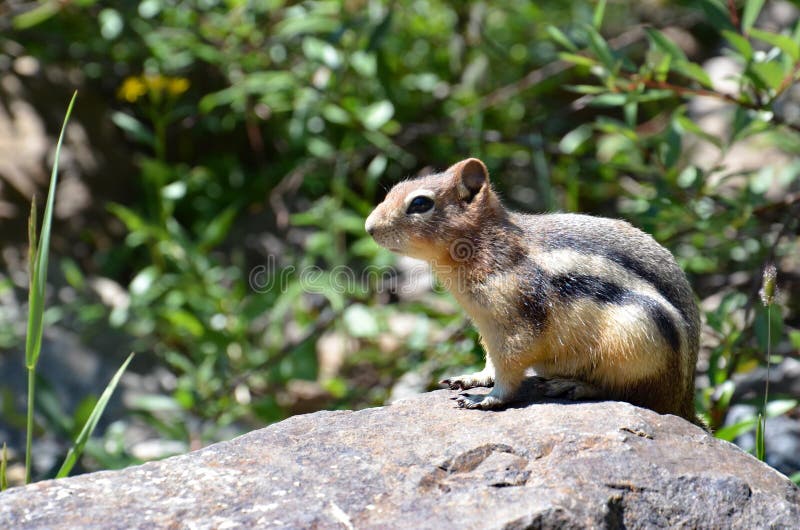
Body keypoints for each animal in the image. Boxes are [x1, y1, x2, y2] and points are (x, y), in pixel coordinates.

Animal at [365, 158, 702, 425]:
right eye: (394, 189)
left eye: (420, 203)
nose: (369, 227)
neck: (486, 243)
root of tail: (683, 400)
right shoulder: (488, 325)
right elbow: (492, 360)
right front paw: (474, 378)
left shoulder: (515, 318)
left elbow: (512, 362)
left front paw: (487, 398)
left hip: (634, 342)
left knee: (634, 394)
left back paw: (574, 386)